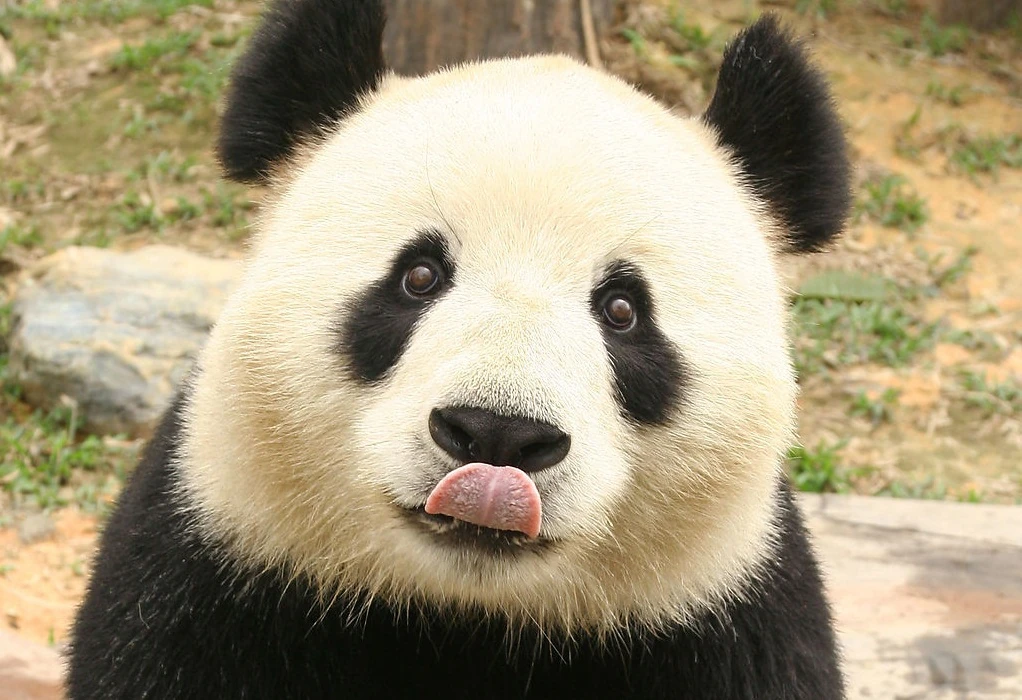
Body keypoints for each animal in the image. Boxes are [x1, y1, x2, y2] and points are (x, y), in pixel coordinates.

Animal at [67, 0, 851, 698]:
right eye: (419, 275)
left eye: (624, 311)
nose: (498, 434)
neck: (466, 615)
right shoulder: (223, 564)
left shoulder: (718, 616)